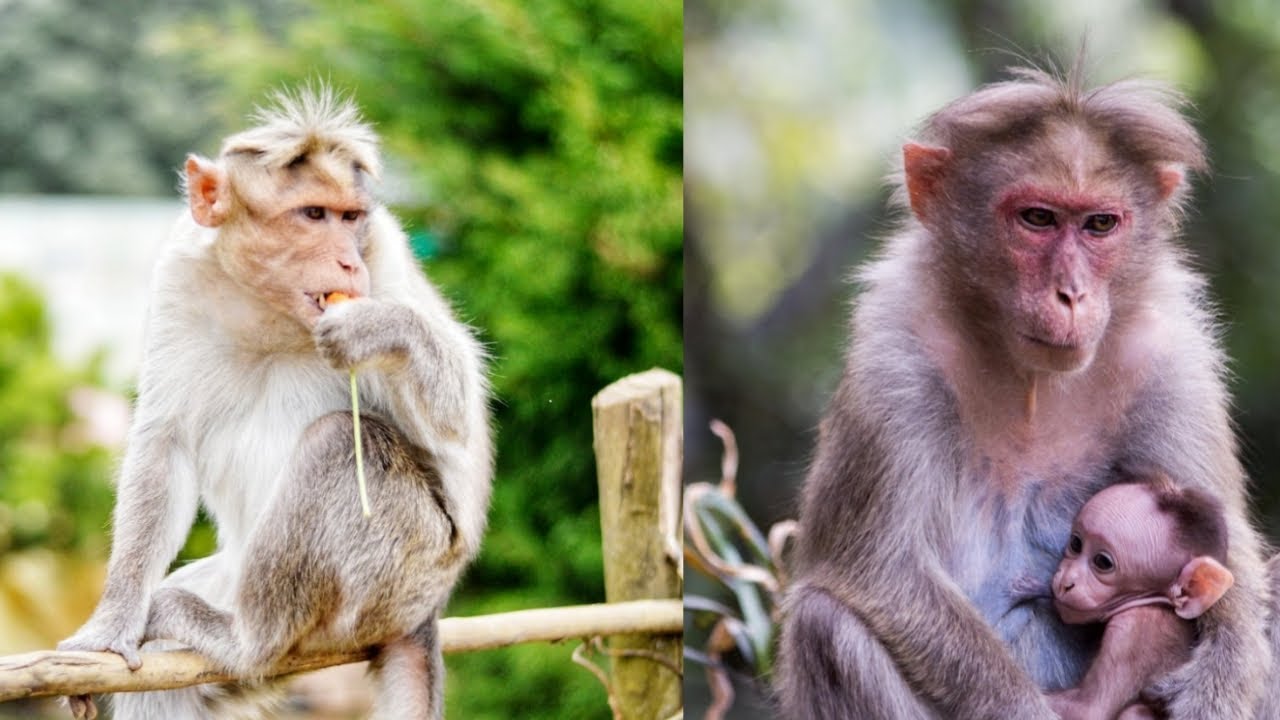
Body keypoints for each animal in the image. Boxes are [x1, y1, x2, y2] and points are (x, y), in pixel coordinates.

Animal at [55, 87, 492, 720]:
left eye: (350, 218)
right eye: (313, 215)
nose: (348, 263)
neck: (269, 306)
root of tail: (424, 611)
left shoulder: (385, 251)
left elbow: (458, 422)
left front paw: (378, 327)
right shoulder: (179, 271)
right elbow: (165, 442)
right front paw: (111, 623)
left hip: (403, 574)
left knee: (339, 443)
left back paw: (248, 640)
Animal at [1047, 478, 1234, 720]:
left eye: (1102, 562)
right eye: (1076, 544)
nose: (1066, 582)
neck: (1156, 603)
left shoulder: (1132, 631)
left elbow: (1088, 709)